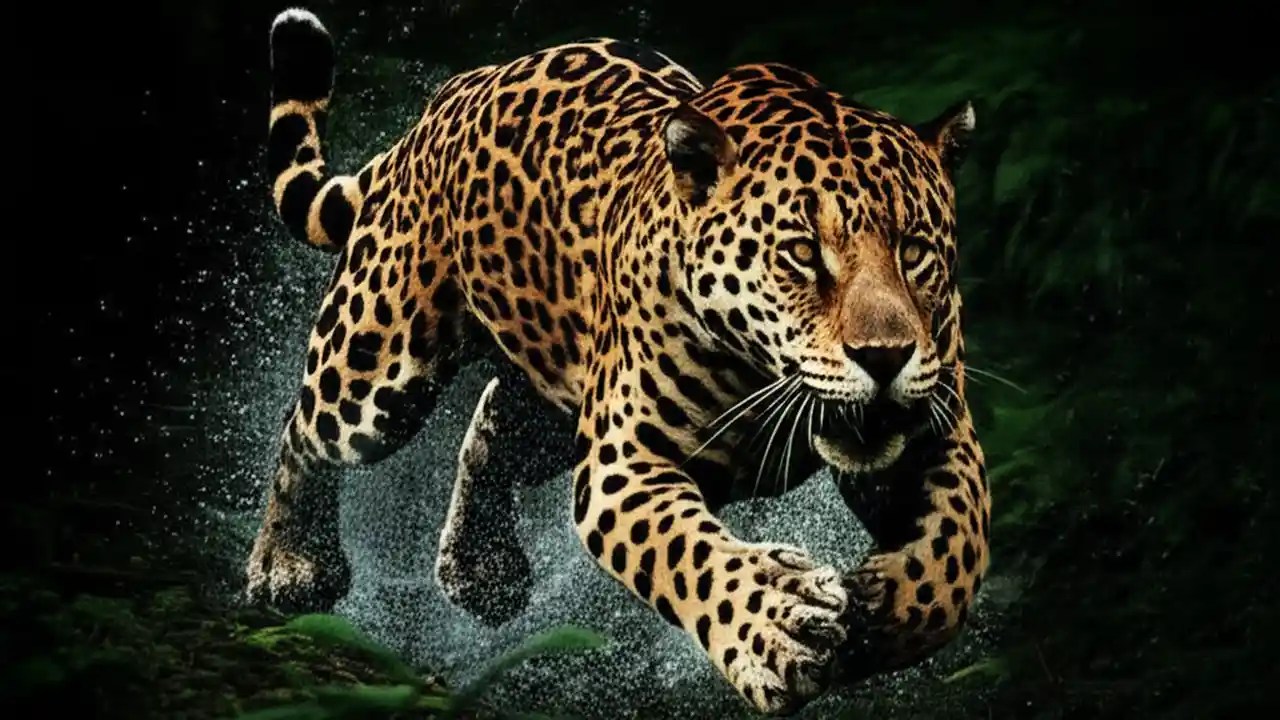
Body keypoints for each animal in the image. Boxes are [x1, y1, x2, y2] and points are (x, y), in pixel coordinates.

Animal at [248, 8, 992, 715]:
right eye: (803, 254)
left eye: (915, 251)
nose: (884, 358)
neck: (760, 373)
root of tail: (456, 93)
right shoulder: (623, 463)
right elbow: (690, 552)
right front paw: (775, 627)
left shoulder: (941, 433)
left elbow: (959, 547)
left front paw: (882, 606)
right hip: (381, 360)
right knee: (307, 428)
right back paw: (289, 564)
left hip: (554, 402)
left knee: (491, 428)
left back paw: (482, 567)